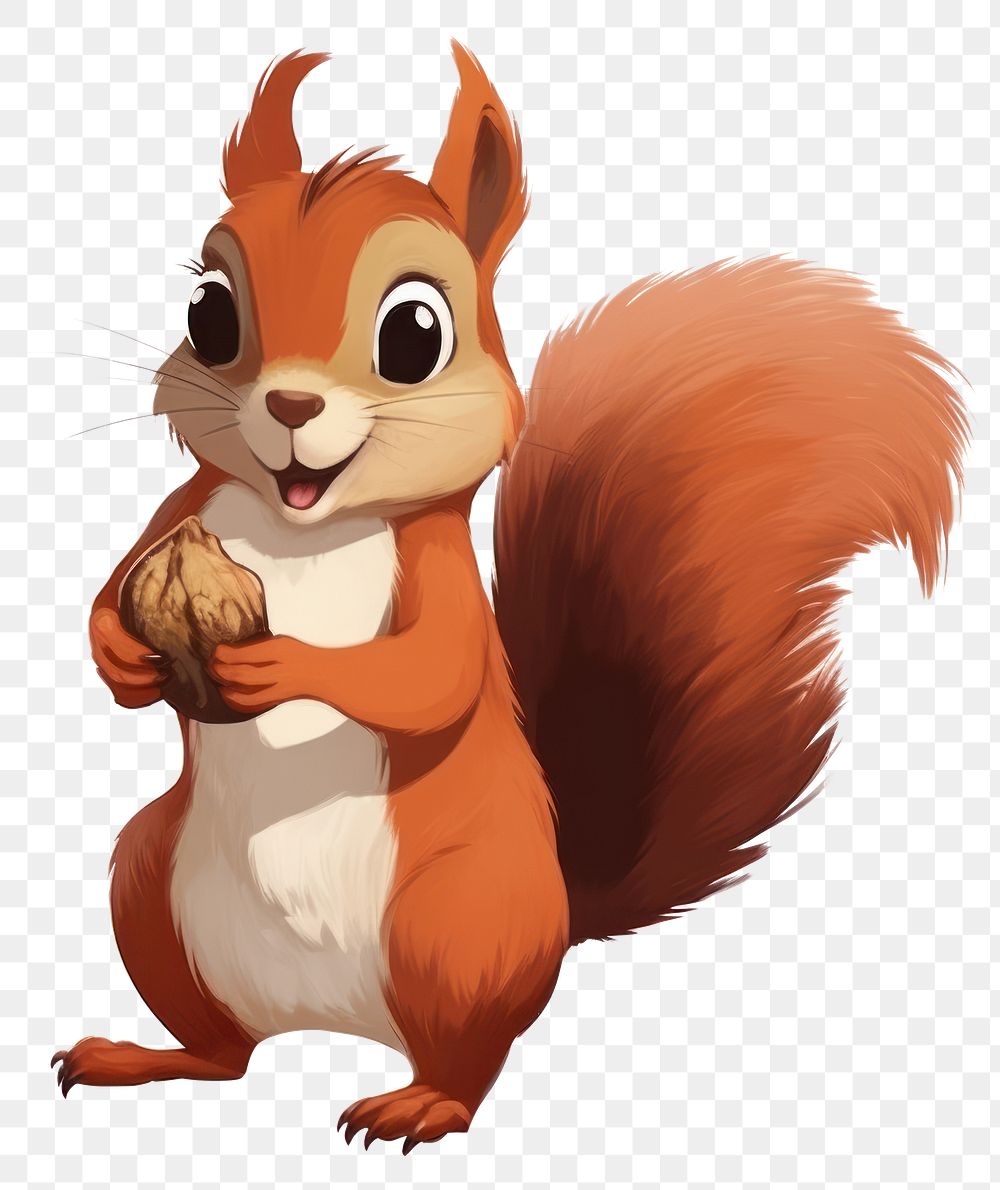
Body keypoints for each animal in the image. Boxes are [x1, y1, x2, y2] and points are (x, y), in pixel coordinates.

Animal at [53, 46, 968, 1152]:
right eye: (208, 315)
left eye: (415, 331)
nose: (290, 404)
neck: (301, 523)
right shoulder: (178, 514)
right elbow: (106, 602)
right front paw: (124, 654)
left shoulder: (438, 572)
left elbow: (431, 674)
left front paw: (284, 664)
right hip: (148, 886)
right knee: (224, 1053)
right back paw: (142, 1055)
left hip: (458, 920)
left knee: (470, 1054)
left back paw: (421, 1102)